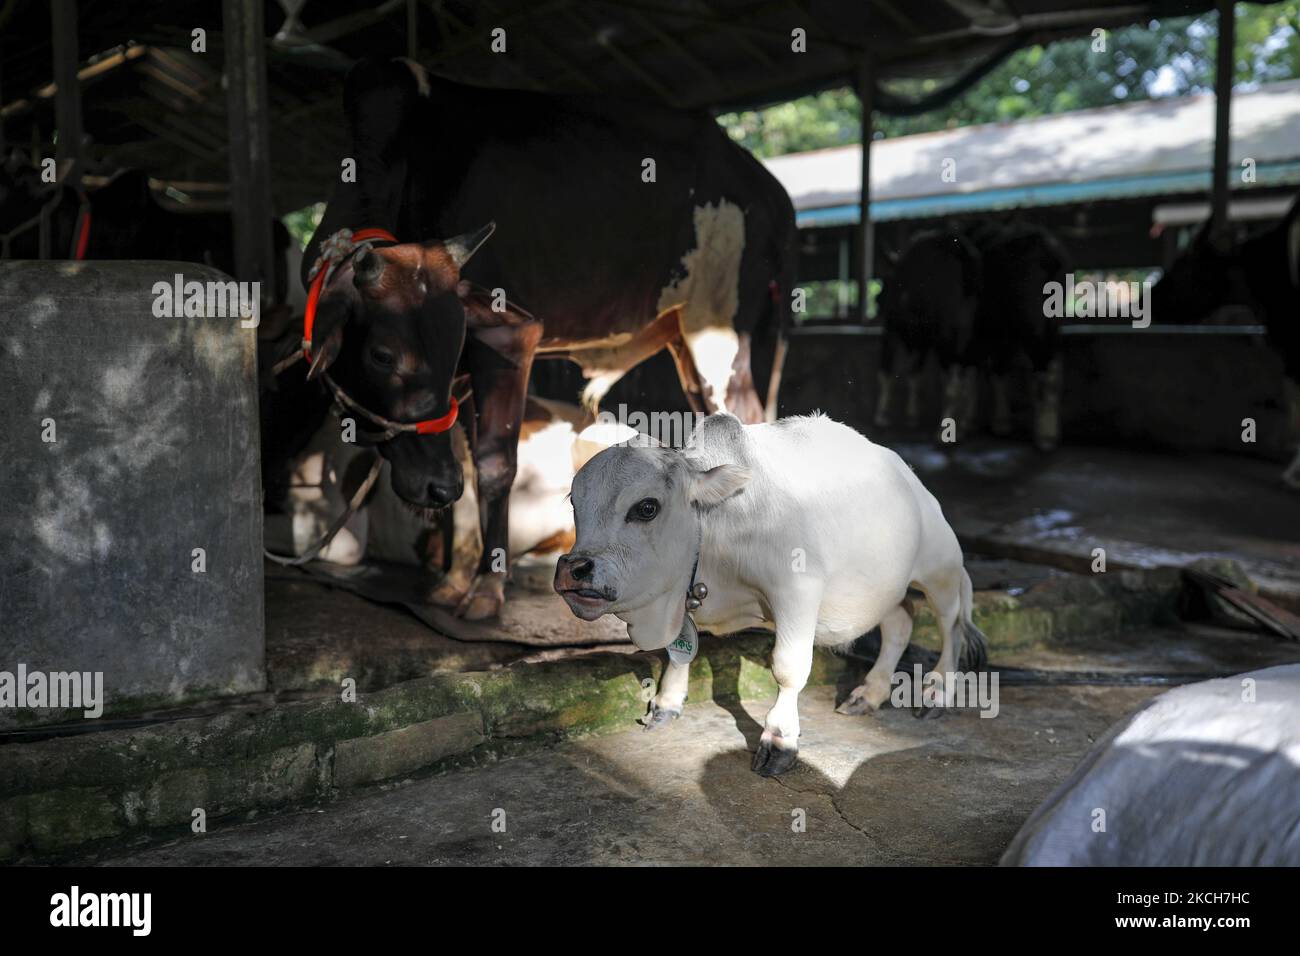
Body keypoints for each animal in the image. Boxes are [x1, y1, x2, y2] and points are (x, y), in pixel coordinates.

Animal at [298, 58, 796, 619]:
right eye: (383, 355)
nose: (435, 487)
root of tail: (769, 189)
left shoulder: (511, 336)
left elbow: (494, 466)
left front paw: (487, 590)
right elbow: (466, 466)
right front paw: (451, 582)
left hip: (719, 331)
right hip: (688, 342)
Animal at [554, 412, 987, 776]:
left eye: (646, 507)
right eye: (575, 502)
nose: (573, 570)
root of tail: (913, 482)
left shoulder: (797, 589)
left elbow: (788, 667)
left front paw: (780, 739)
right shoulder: (684, 597)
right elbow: (680, 653)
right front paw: (667, 702)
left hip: (941, 570)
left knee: (950, 626)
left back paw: (937, 692)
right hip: (888, 587)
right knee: (900, 624)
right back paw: (871, 693)